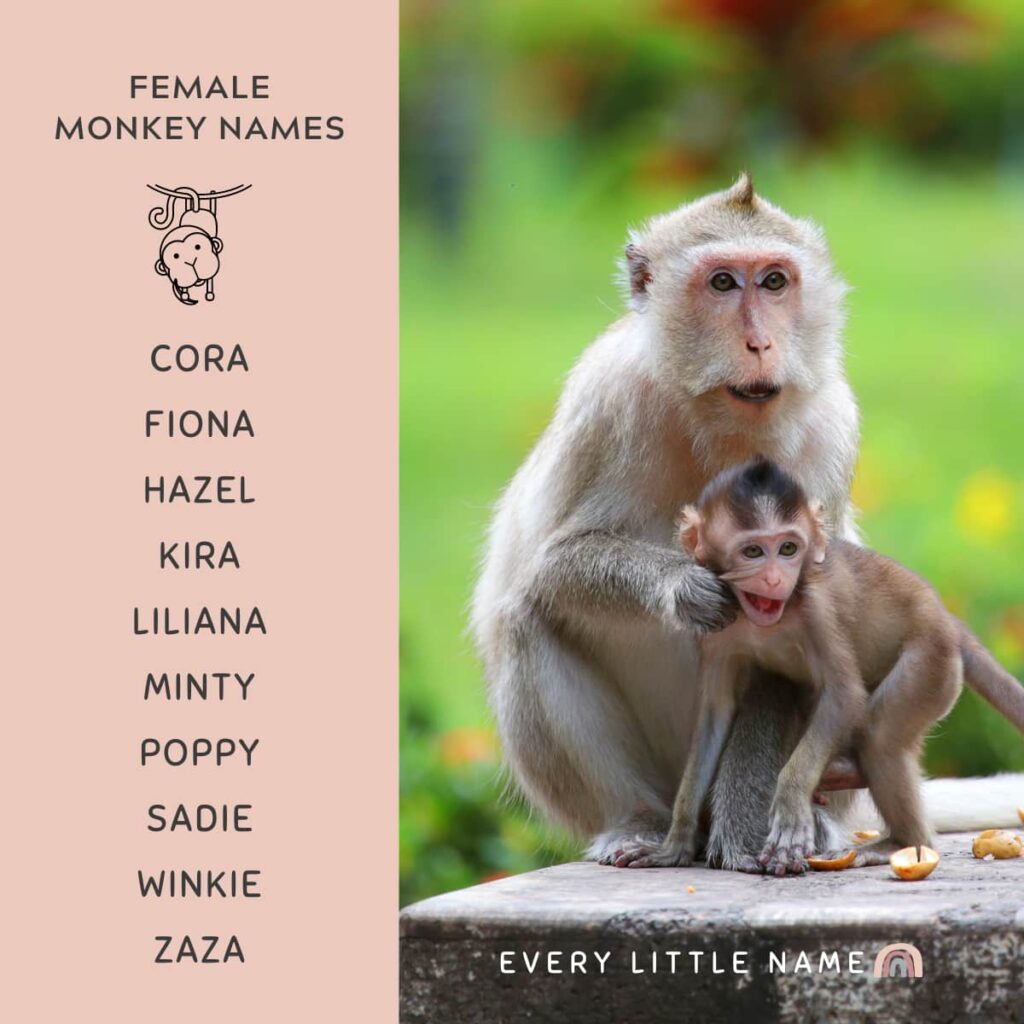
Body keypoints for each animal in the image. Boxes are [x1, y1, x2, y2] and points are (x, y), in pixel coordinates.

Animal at [615, 457, 1024, 876]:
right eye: (753, 552)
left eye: (788, 548)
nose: (775, 579)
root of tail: (944, 617)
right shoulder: (715, 629)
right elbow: (716, 714)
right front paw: (674, 844)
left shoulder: (818, 610)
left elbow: (844, 694)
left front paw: (790, 809)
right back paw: (842, 774)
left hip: (930, 660)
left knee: (878, 736)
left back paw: (900, 841)